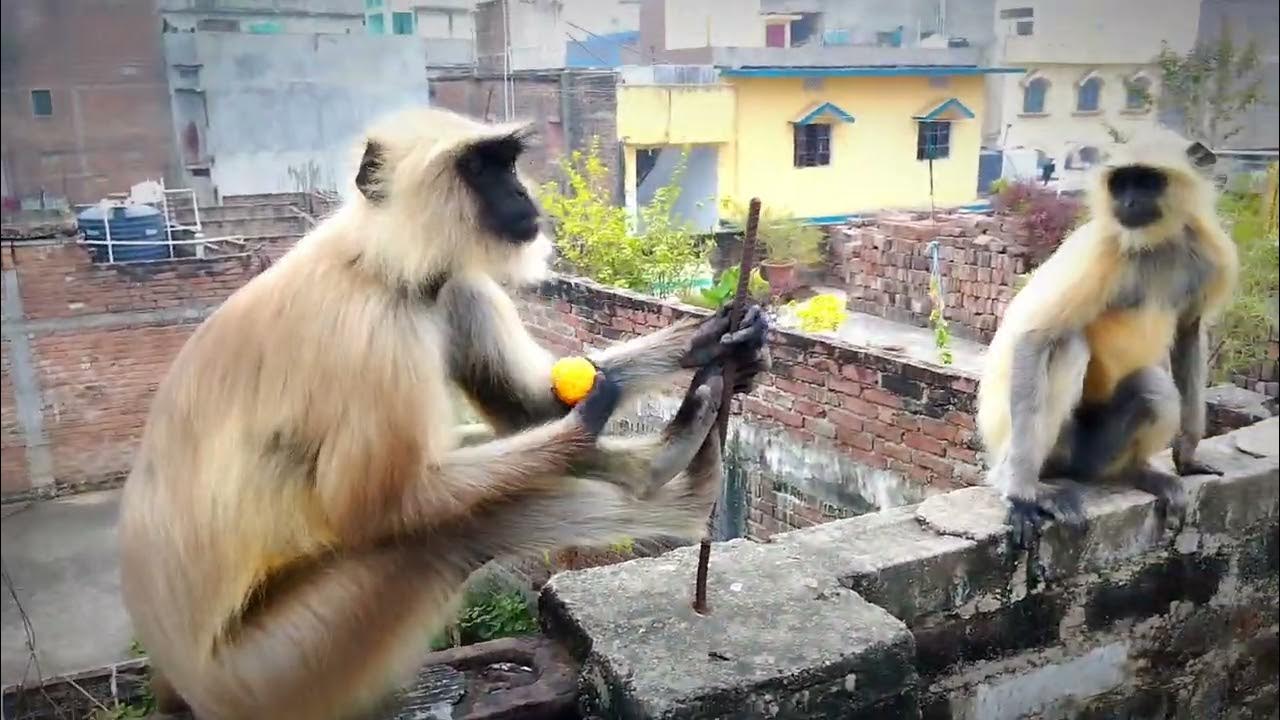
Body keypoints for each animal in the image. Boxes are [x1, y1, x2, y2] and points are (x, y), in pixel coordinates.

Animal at [116, 107, 770, 720]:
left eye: (507, 163)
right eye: (479, 168)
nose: (522, 194)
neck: (378, 262)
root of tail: (184, 682)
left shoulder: (454, 287)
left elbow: (532, 405)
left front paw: (714, 339)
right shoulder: (370, 335)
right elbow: (373, 505)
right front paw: (593, 419)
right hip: (281, 666)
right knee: (442, 532)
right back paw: (683, 477)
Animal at [976, 133, 1238, 547]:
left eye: (1146, 182)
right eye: (1121, 183)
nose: (1127, 202)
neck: (1156, 245)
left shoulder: (1209, 254)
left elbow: (1189, 330)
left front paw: (1188, 453)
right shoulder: (1102, 250)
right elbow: (1034, 338)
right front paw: (1019, 497)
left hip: (1096, 452)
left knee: (1153, 389)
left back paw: (1133, 472)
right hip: (1050, 446)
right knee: (1068, 345)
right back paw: (1025, 483)